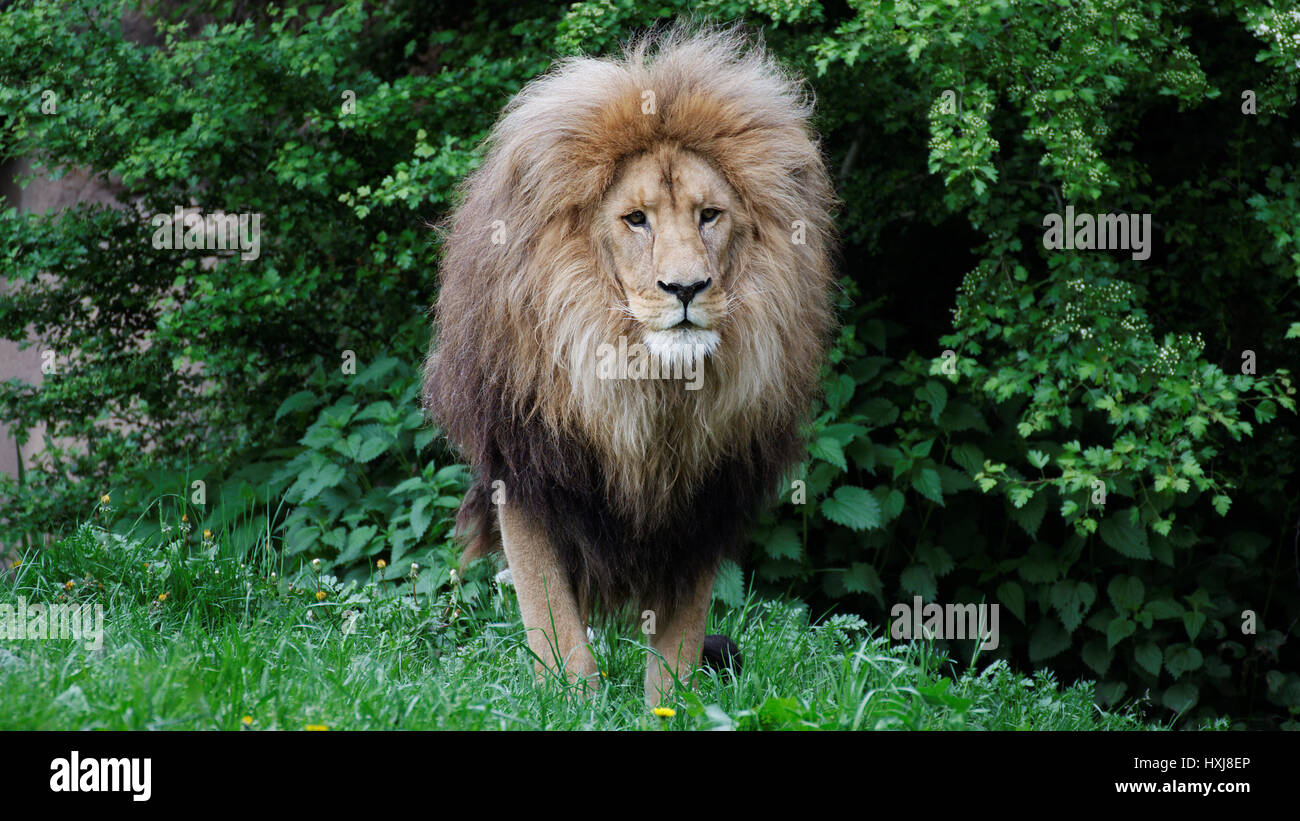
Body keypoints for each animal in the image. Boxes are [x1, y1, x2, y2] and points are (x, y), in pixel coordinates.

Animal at [423, 25, 835, 706]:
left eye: (709, 214)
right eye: (635, 219)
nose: (687, 288)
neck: (643, 383)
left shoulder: (704, 499)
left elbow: (679, 640)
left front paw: (669, 707)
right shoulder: (527, 467)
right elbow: (553, 618)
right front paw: (572, 700)